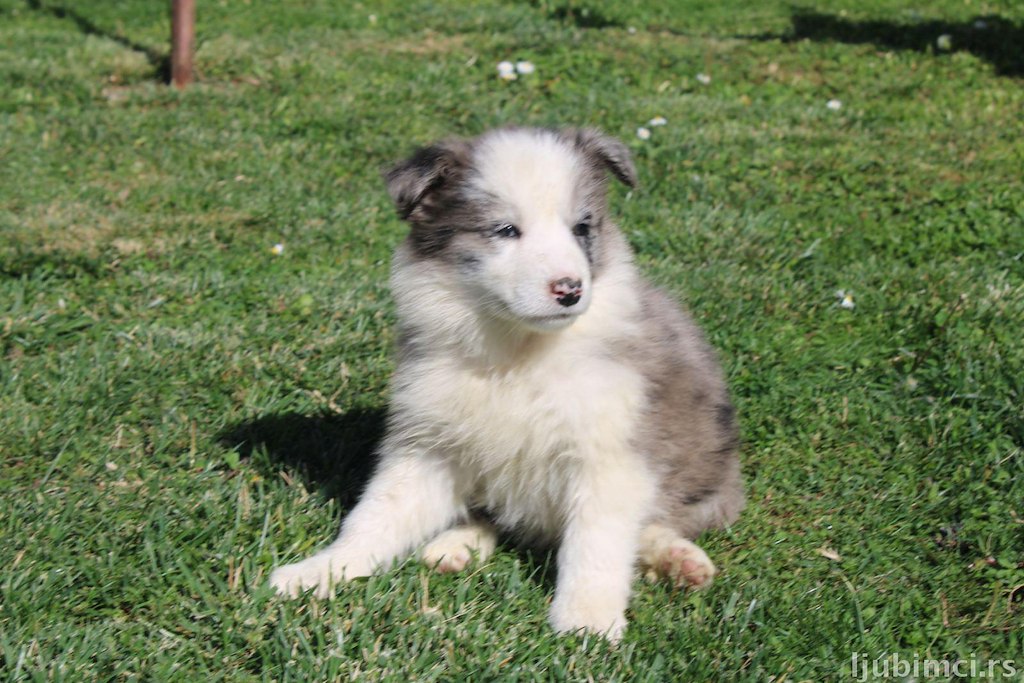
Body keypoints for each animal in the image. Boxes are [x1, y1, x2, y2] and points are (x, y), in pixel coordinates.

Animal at [268, 124, 741, 643]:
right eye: (505, 230)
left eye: (582, 227)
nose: (570, 289)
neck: (516, 351)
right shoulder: (429, 446)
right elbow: (375, 516)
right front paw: (321, 571)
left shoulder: (609, 455)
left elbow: (596, 543)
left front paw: (587, 623)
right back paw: (454, 546)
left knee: (655, 522)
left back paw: (679, 560)